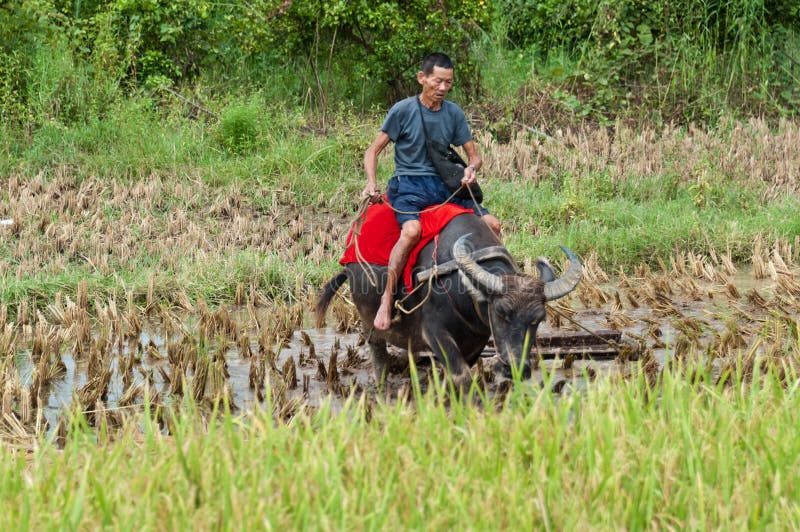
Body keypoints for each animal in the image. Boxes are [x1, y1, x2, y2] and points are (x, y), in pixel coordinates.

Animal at [316, 213, 582, 387]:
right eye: (501, 312)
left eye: (538, 319)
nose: (516, 369)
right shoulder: (434, 332)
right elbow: (461, 375)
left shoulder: (476, 341)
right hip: (370, 323)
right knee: (379, 356)